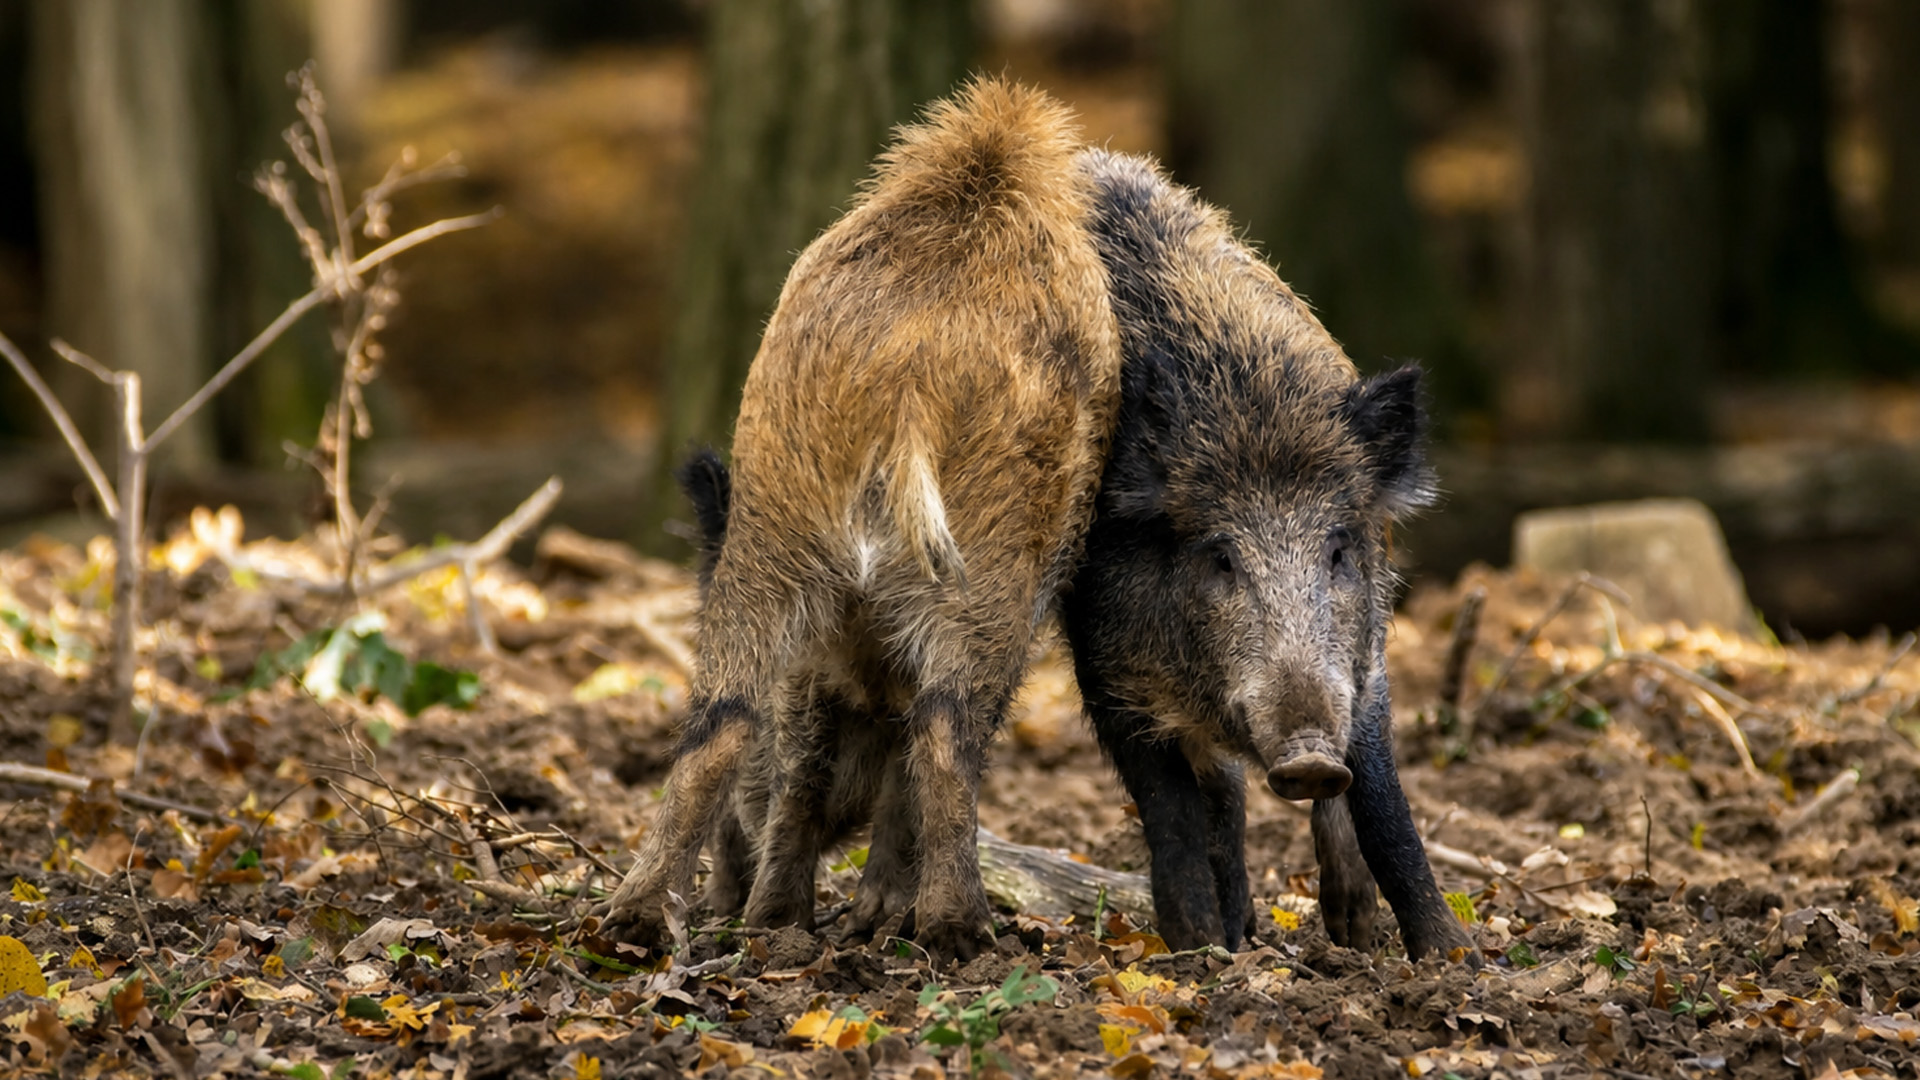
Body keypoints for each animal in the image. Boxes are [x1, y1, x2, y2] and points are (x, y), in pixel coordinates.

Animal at [598, 79, 1122, 963]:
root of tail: (911, 362)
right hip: (986, 578)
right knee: (944, 733)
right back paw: (957, 935)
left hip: (770, 536)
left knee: (723, 723)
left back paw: (668, 927)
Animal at [1060, 149, 1470, 961]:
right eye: (1220, 558)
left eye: (1338, 550)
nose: (1307, 757)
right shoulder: (1109, 671)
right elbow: (1169, 807)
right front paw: (1197, 951)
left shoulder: (1364, 662)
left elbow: (1385, 803)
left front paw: (1449, 955)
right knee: (1218, 790)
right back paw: (1238, 931)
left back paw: (1346, 928)